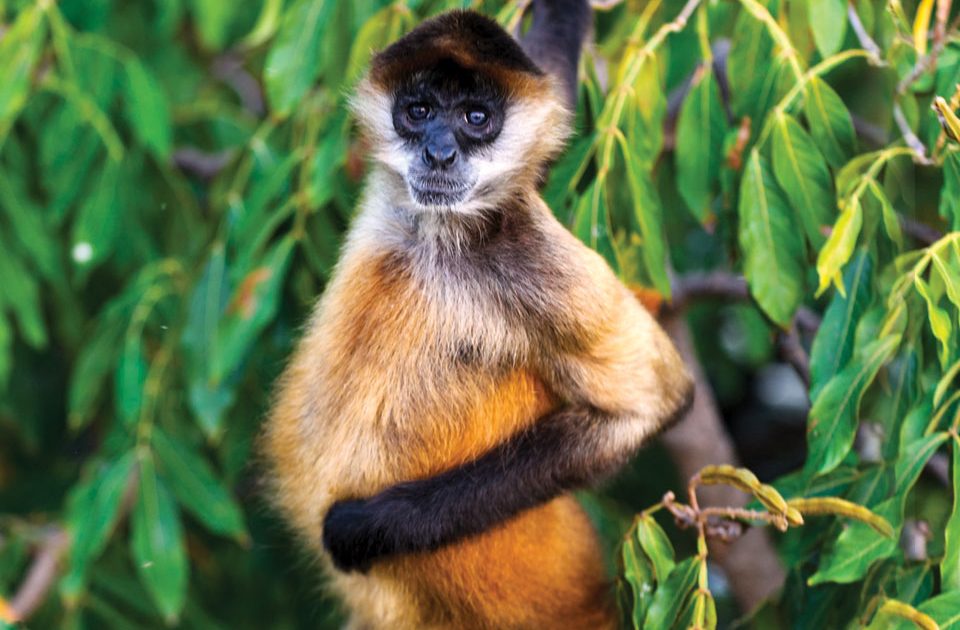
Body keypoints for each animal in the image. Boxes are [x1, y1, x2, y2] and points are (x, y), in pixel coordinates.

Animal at [262, 3, 693, 628]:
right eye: (417, 111)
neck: (435, 232)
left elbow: (655, 400)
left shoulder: (525, 252)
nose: (438, 153)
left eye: (476, 118)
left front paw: (363, 527)